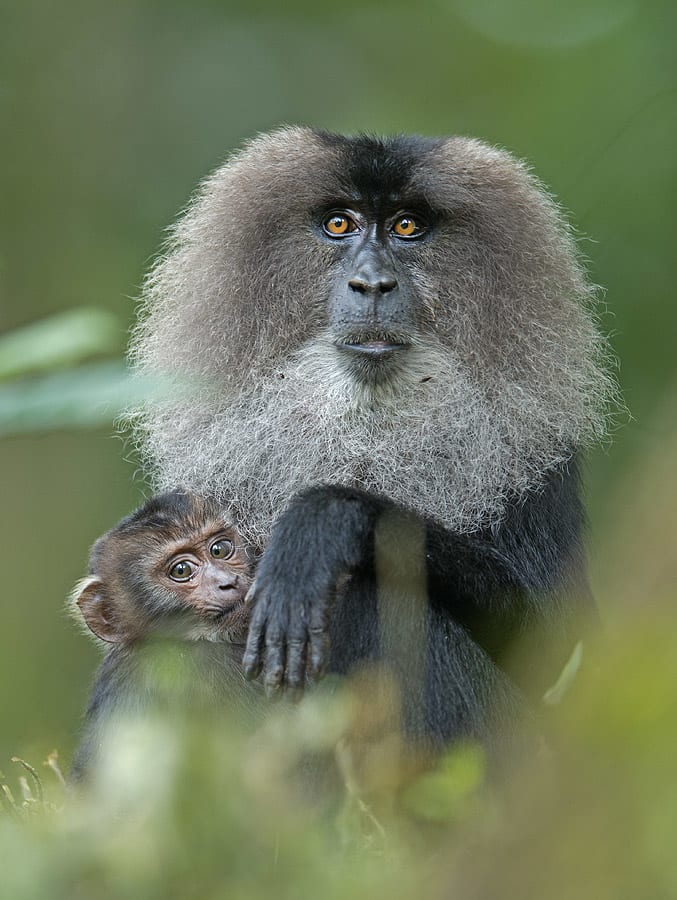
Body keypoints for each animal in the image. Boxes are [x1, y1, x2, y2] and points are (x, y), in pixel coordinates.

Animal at [128, 127, 617, 752]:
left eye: (407, 226)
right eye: (340, 224)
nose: (373, 284)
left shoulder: (543, 468)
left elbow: (564, 661)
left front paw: (323, 523)